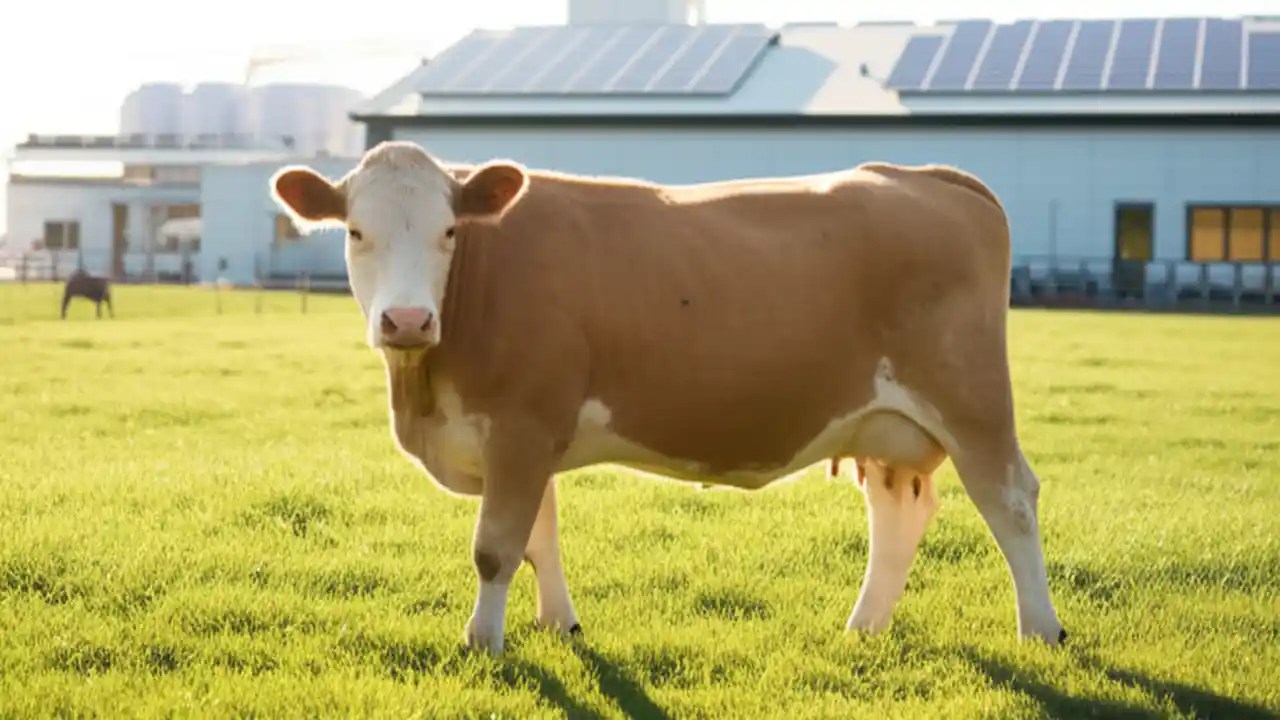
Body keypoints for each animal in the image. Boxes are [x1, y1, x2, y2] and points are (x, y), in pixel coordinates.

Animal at [269, 140, 1066, 656]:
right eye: (355, 231)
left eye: (448, 231)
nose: (407, 320)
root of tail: (923, 175)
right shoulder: (528, 436)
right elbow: (539, 535)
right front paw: (557, 624)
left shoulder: (521, 426)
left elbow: (496, 548)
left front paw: (482, 641)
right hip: (884, 423)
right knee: (899, 511)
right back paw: (864, 626)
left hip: (971, 400)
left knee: (1011, 501)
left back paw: (1040, 630)